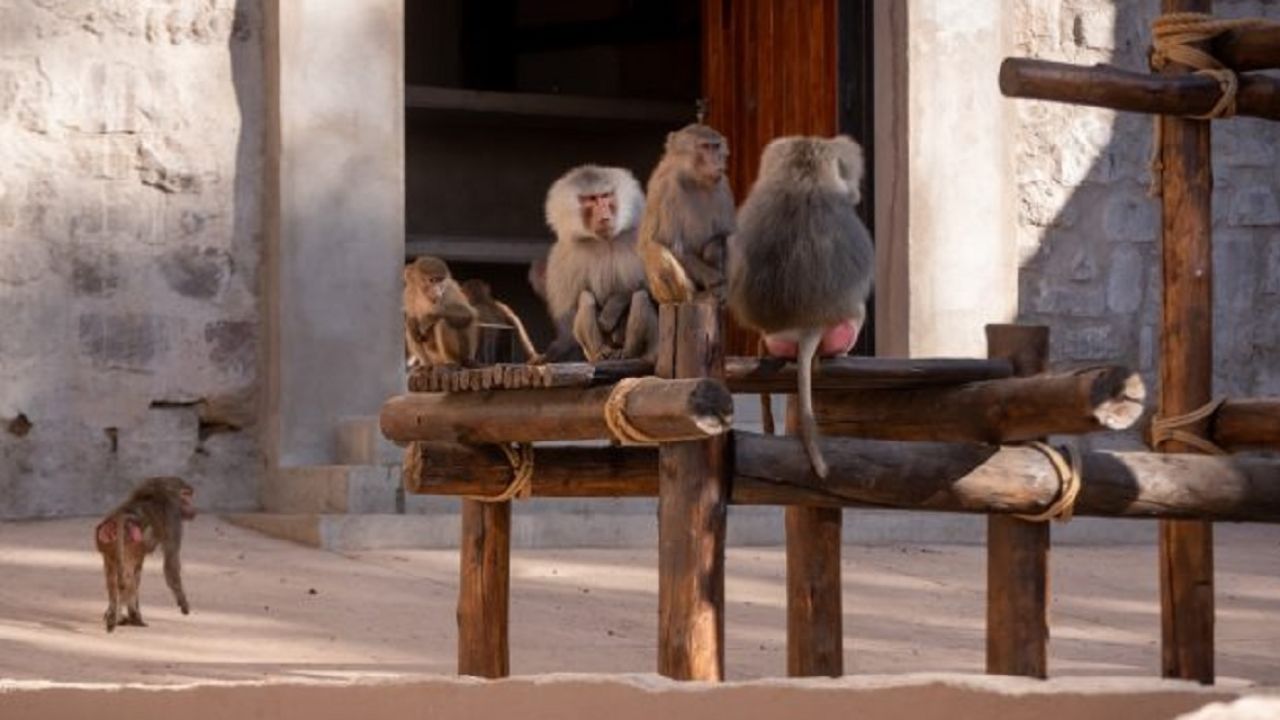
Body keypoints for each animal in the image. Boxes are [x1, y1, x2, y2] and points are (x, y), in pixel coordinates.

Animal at [95, 476, 197, 632]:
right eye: (186, 495)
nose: (193, 508)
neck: (163, 491)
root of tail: (117, 519)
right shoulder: (174, 517)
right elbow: (171, 564)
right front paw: (183, 604)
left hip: (108, 544)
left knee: (116, 577)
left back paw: (115, 615)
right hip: (131, 543)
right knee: (129, 577)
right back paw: (131, 617)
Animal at [544, 164, 658, 362]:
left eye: (605, 196)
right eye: (591, 199)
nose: (604, 212)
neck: (605, 240)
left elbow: (654, 290)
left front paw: (612, 309)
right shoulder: (563, 256)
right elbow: (568, 309)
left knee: (641, 297)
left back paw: (628, 352)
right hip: (589, 352)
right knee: (585, 298)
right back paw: (601, 352)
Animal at [639, 124, 737, 305]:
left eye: (715, 147)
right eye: (705, 147)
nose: (717, 162)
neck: (693, 179)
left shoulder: (723, 186)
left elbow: (725, 234)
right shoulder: (666, 188)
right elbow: (673, 246)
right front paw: (713, 278)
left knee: (723, 241)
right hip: (661, 293)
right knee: (655, 251)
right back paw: (686, 298)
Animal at [727, 135, 874, 478]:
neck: (804, 180)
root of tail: (808, 328)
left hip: (776, 336)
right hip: (844, 325)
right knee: (855, 313)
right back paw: (840, 353)